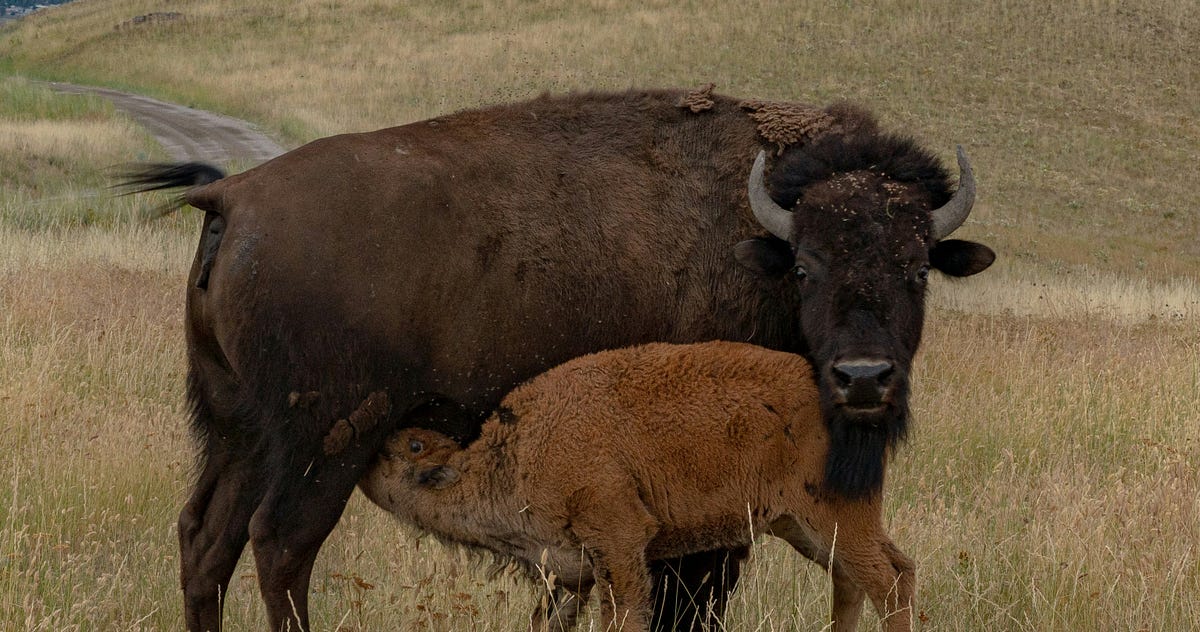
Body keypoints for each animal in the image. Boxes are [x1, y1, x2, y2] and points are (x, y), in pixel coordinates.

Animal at [122, 86, 993, 632]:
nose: (863, 380)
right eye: (807, 266)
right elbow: (691, 595)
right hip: (320, 445)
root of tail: (236, 199)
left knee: (205, 541)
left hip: (237, 433)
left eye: (918, 267)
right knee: (280, 548)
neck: (756, 237)